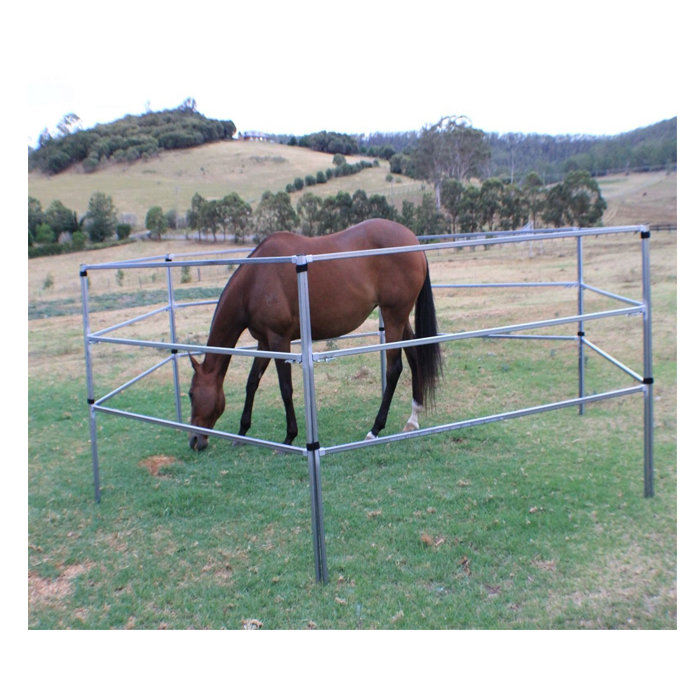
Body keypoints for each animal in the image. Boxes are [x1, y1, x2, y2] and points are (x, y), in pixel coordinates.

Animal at [187, 218, 442, 451]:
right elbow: (252, 383)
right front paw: (242, 433)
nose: (194, 440)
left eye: (190, 394)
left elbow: (285, 387)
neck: (255, 280)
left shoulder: (279, 340)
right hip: (400, 318)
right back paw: (412, 419)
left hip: (393, 316)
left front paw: (289, 436)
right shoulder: (264, 341)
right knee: (414, 356)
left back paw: (375, 429)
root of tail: (413, 242)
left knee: (394, 369)